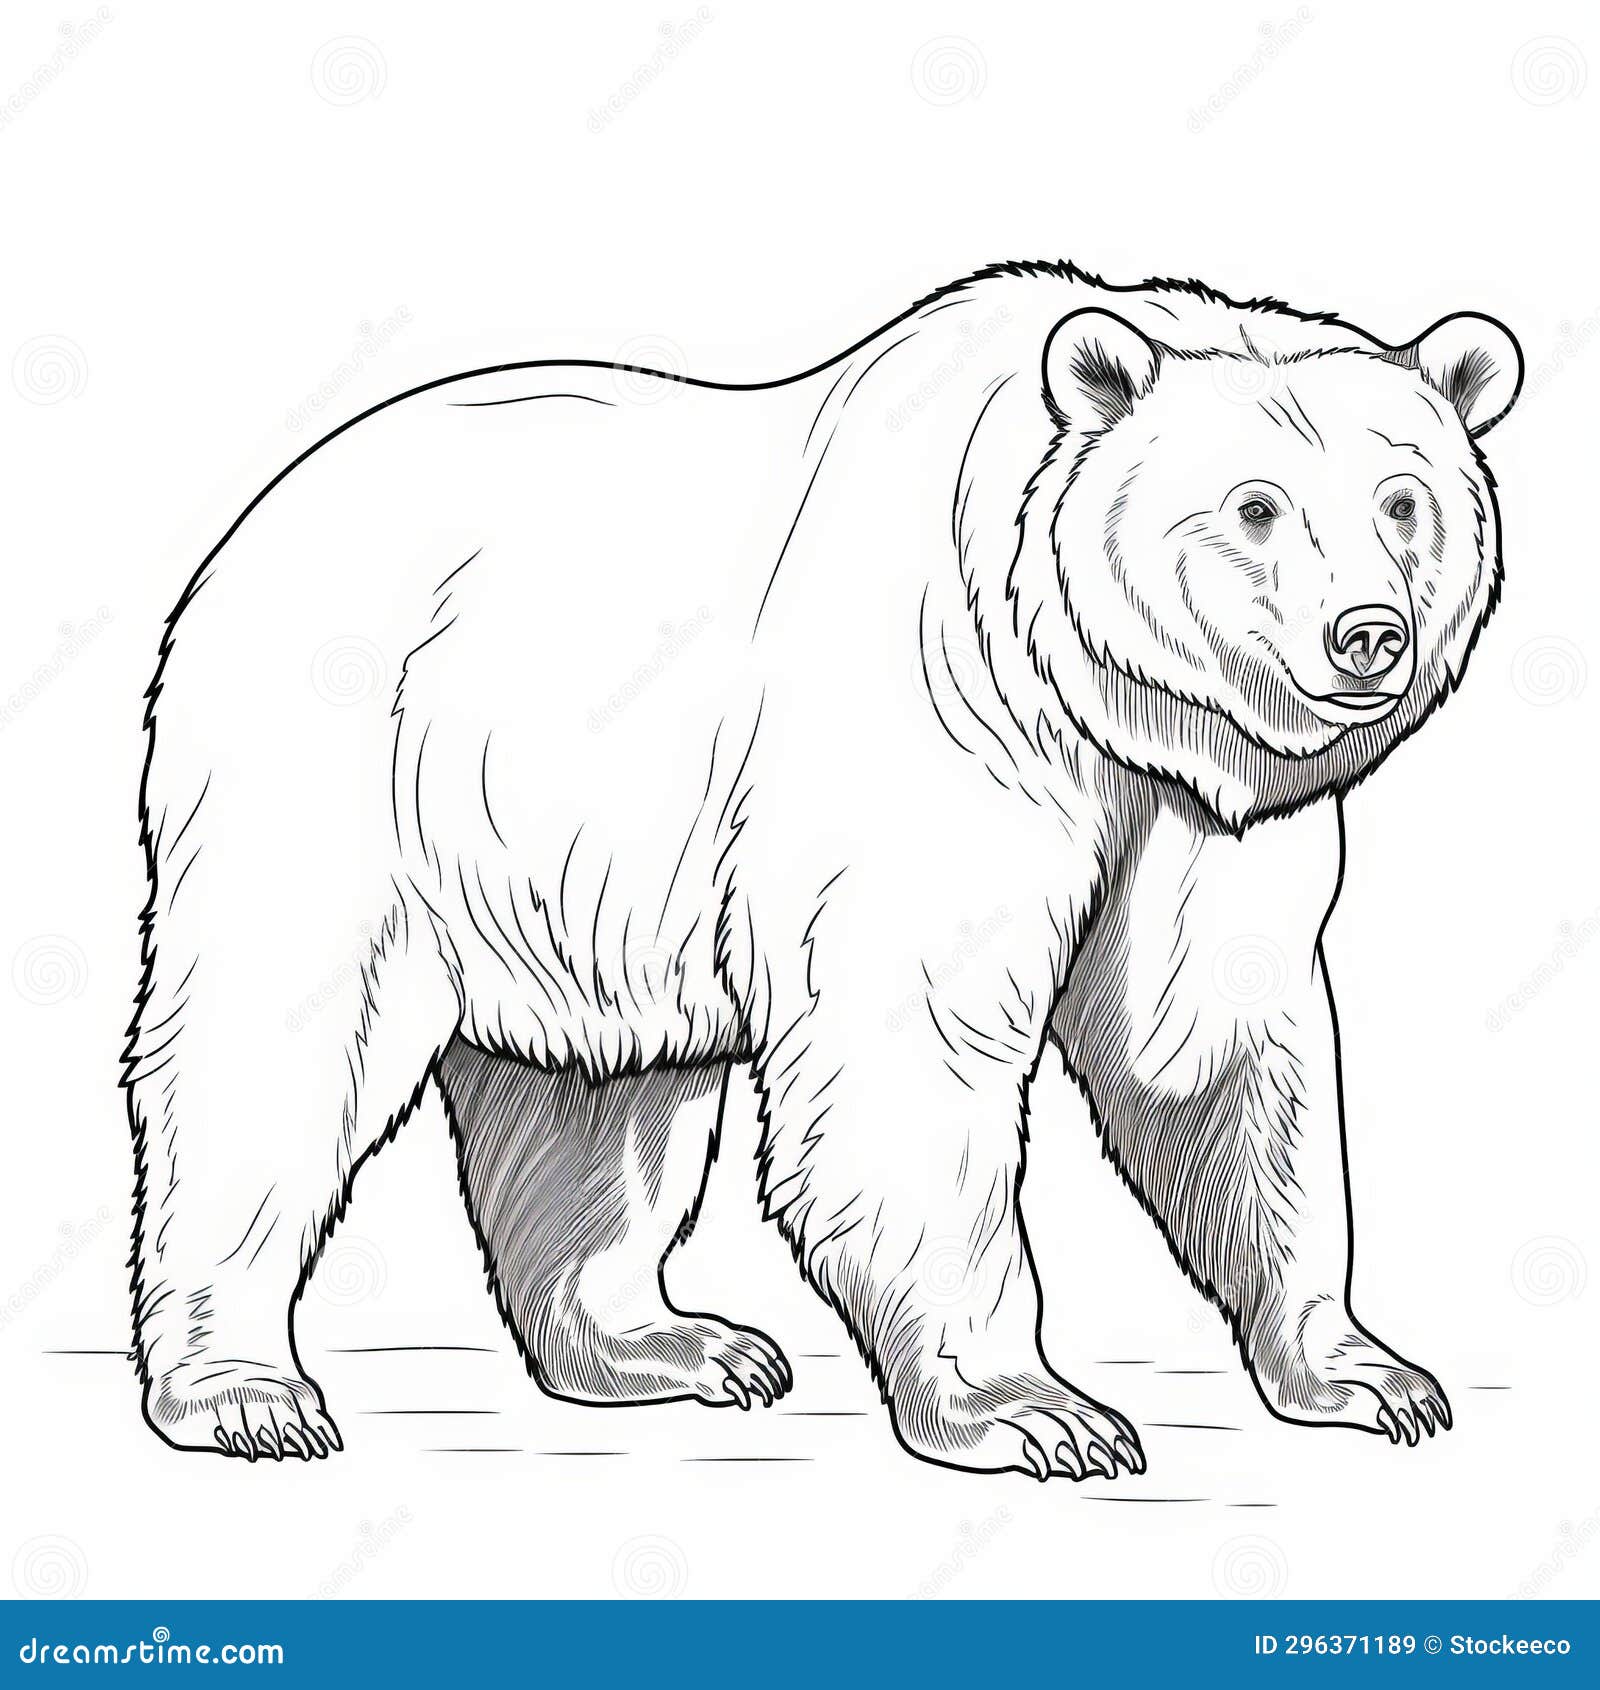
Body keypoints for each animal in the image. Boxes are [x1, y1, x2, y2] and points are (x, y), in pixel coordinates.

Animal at [123, 261, 1521, 1476]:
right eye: (1255, 505)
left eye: (1403, 501)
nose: (1366, 635)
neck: (1087, 688)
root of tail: (243, 529)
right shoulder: (940, 730)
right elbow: (915, 1047)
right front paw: (1036, 1411)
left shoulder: (1191, 814)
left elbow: (1207, 1042)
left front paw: (1365, 1371)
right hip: (349, 761)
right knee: (277, 1045)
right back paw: (243, 1390)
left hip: (578, 869)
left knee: (597, 1102)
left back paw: (665, 1340)